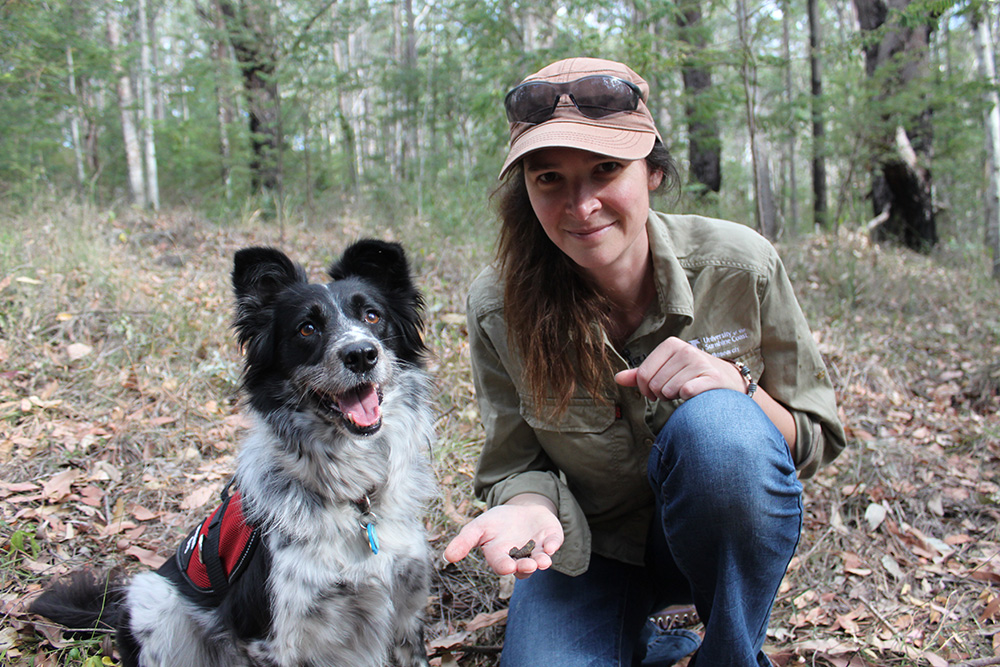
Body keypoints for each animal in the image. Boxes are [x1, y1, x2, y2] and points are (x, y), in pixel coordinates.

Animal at [30, 240, 434, 667]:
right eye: (307, 328)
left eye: (372, 315)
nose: (361, 354)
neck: (355, 500)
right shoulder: (268, 637)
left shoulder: (406, 610)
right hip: (151, 601)